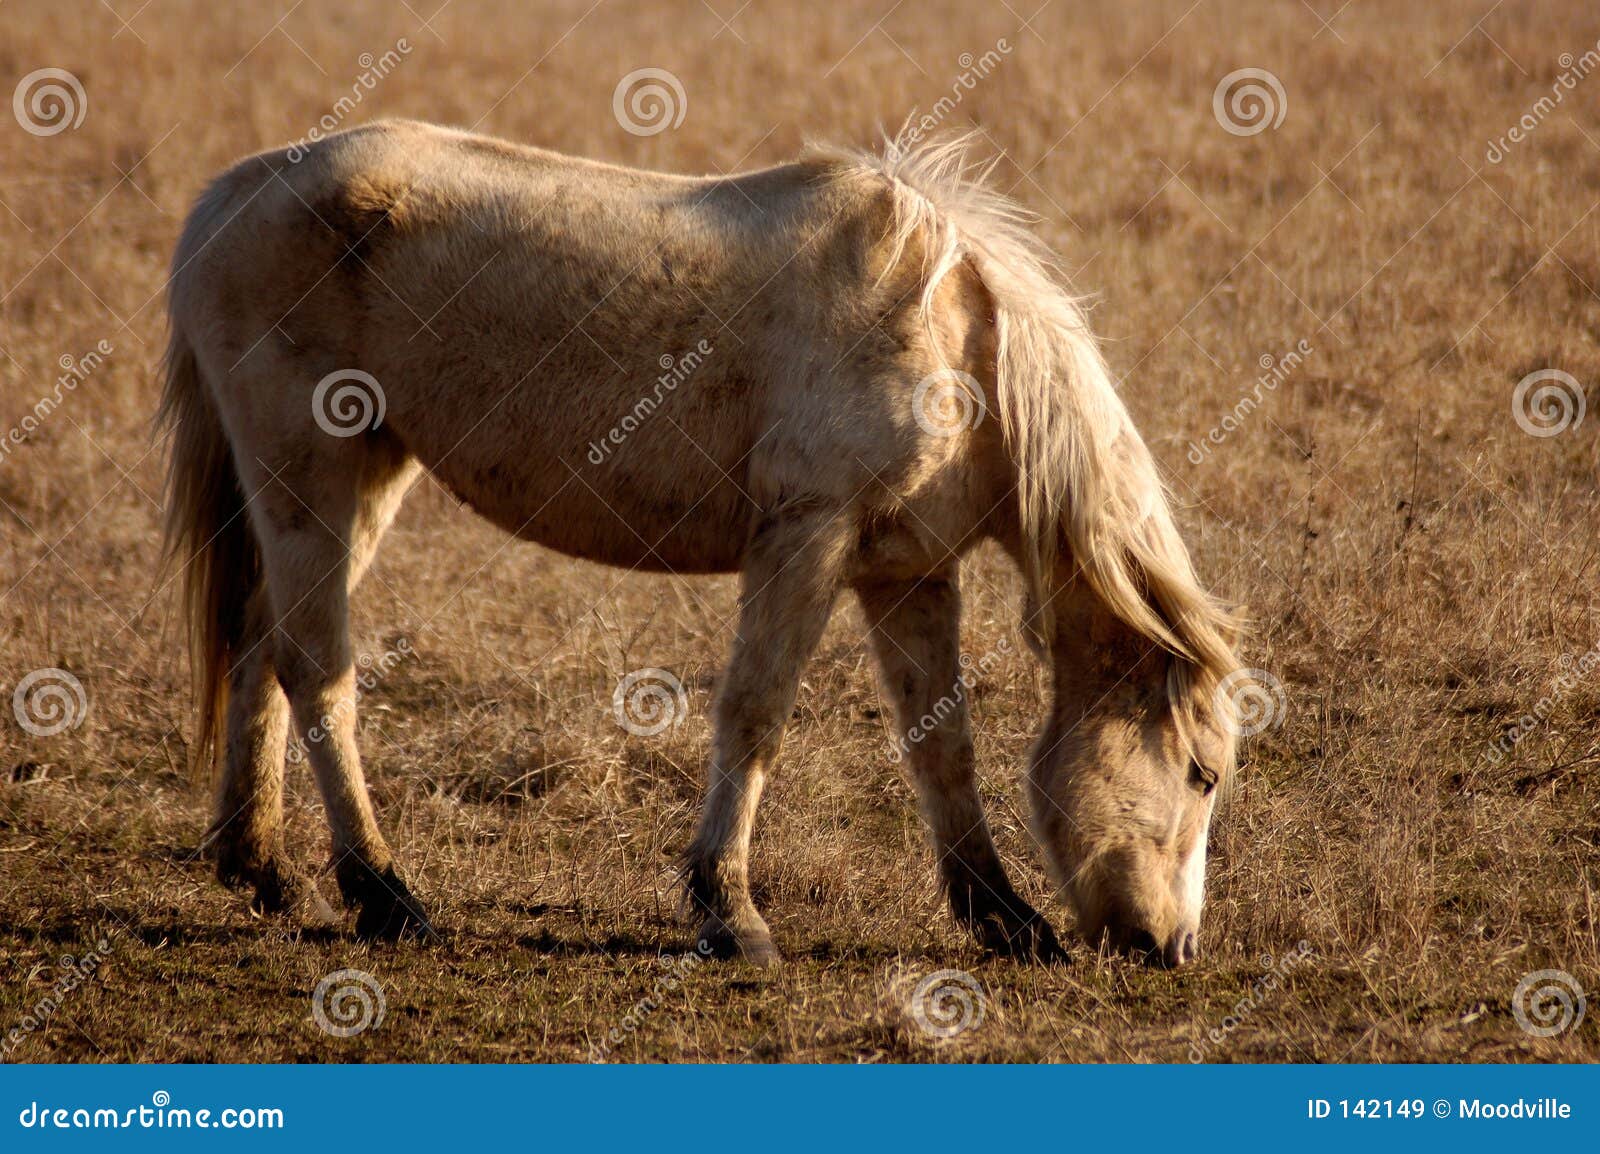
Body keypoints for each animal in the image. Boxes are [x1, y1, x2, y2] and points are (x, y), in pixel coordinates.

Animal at [159, 119, 1240, 966]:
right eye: (1203, 772)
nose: (1175, 948)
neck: (953, 336)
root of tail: (229, 197)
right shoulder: (807, 539)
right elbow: (755, 717)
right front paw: (729, 912)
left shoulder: (909, 572)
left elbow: (943, 746)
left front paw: (1003, 916)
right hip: (309, 474)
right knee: (316, 667)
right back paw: (384, 893)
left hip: (362, 479)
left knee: (261, 645)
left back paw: (264, 869)